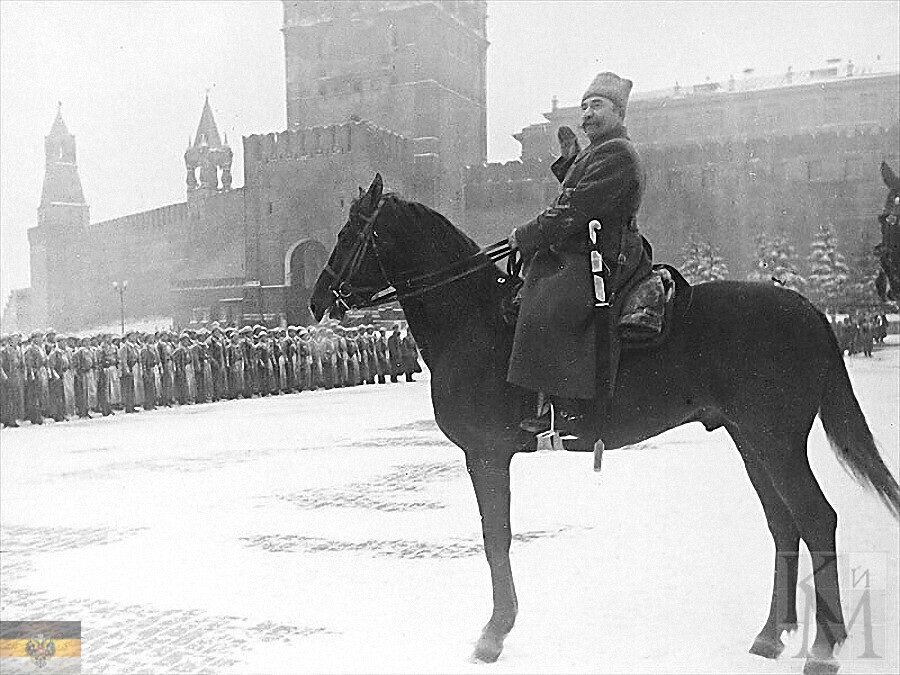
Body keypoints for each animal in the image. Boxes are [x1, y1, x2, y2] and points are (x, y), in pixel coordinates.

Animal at [312, 176, 900, 675]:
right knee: (784, 525)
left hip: (775, 441)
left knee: (816, 520)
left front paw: (494, 633)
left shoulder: (485, 454)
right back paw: (771, 635)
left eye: (349, 233)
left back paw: (823, 647)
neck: (473, 321)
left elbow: (495, 537)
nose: (317, 300)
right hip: (751, 441)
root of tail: (806, 308)